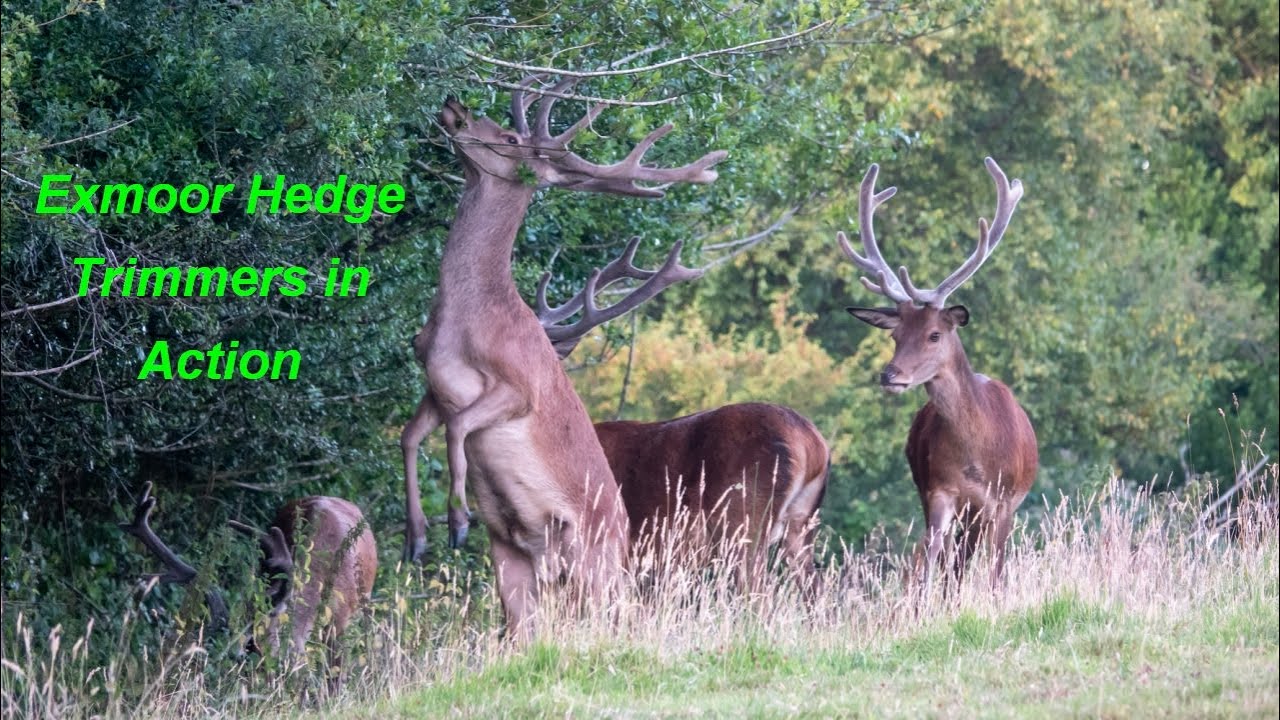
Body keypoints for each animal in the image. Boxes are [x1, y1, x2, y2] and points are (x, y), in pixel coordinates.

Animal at [400, 76, 727, 638]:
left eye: (509, 138)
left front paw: (459, 520)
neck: (459, 324)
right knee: (525, 630)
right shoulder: (434, 386)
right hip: (514, 562)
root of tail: (625, 536)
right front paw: (417, 535)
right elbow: (410, 436)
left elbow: (457, 430)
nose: (455, 106)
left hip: (595, 563)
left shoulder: (519, 386)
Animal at [838, 157, 1038, 596]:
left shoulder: (1002, 503)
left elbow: (995, 572)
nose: (890, 374)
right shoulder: (938, 491)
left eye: (934, 334)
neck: (977, 457)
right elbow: (931, 559)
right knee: (950, 558)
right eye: (894, 335)